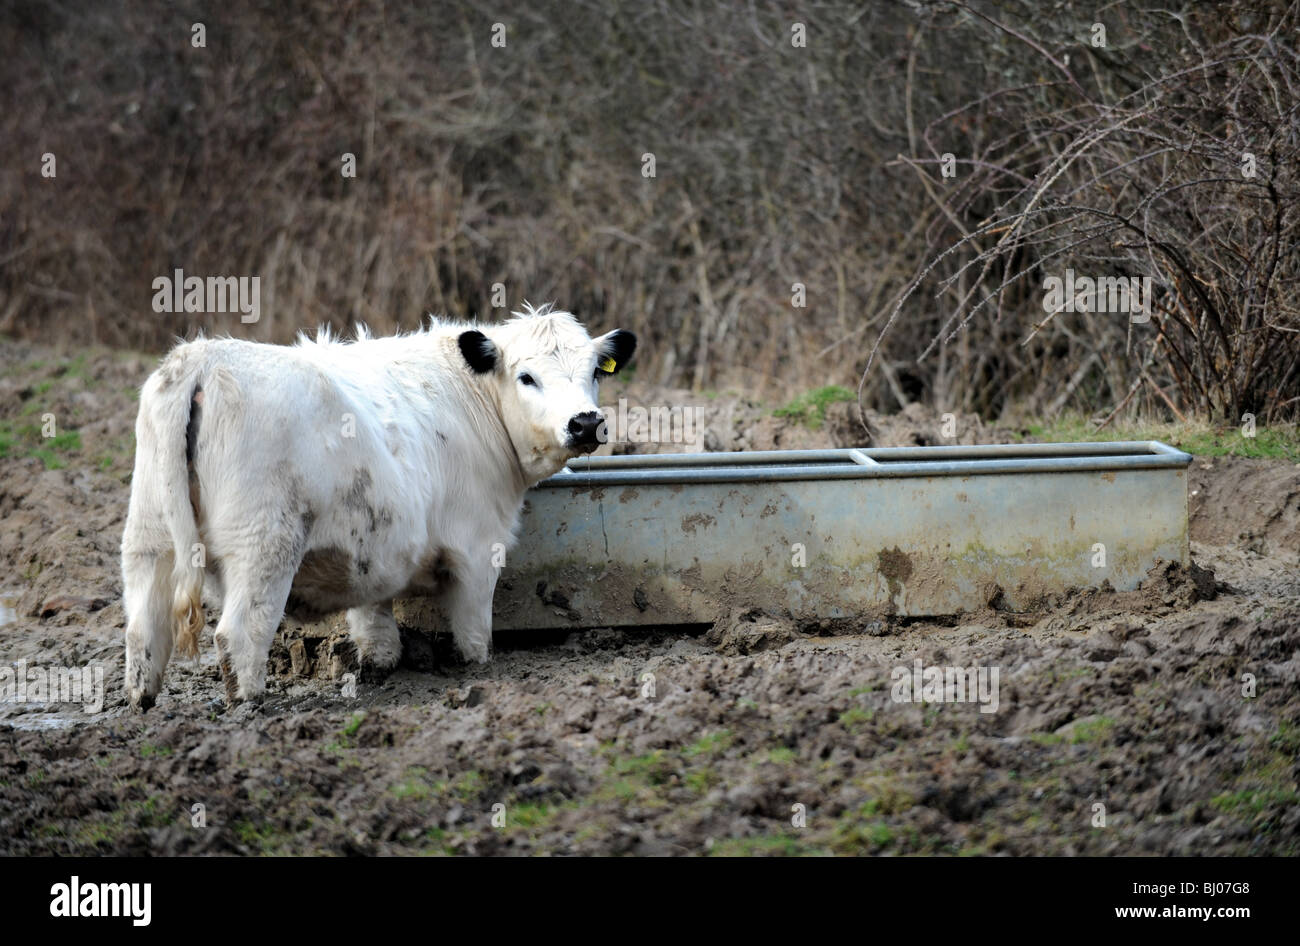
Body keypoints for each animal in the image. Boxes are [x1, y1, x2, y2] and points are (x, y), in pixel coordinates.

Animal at [120, 303, 636, 710]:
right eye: (528, 377)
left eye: (595, 371)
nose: (585, 423)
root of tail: (204, 357)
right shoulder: (476, 546)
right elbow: (473, 628)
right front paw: (476, 670)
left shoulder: (375, 544)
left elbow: (373, 610)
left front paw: (381, 662)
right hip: (264, 547)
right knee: (240, 634)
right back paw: (248, 704)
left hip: (148, 538)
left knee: (143, 629)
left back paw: (142, 700)